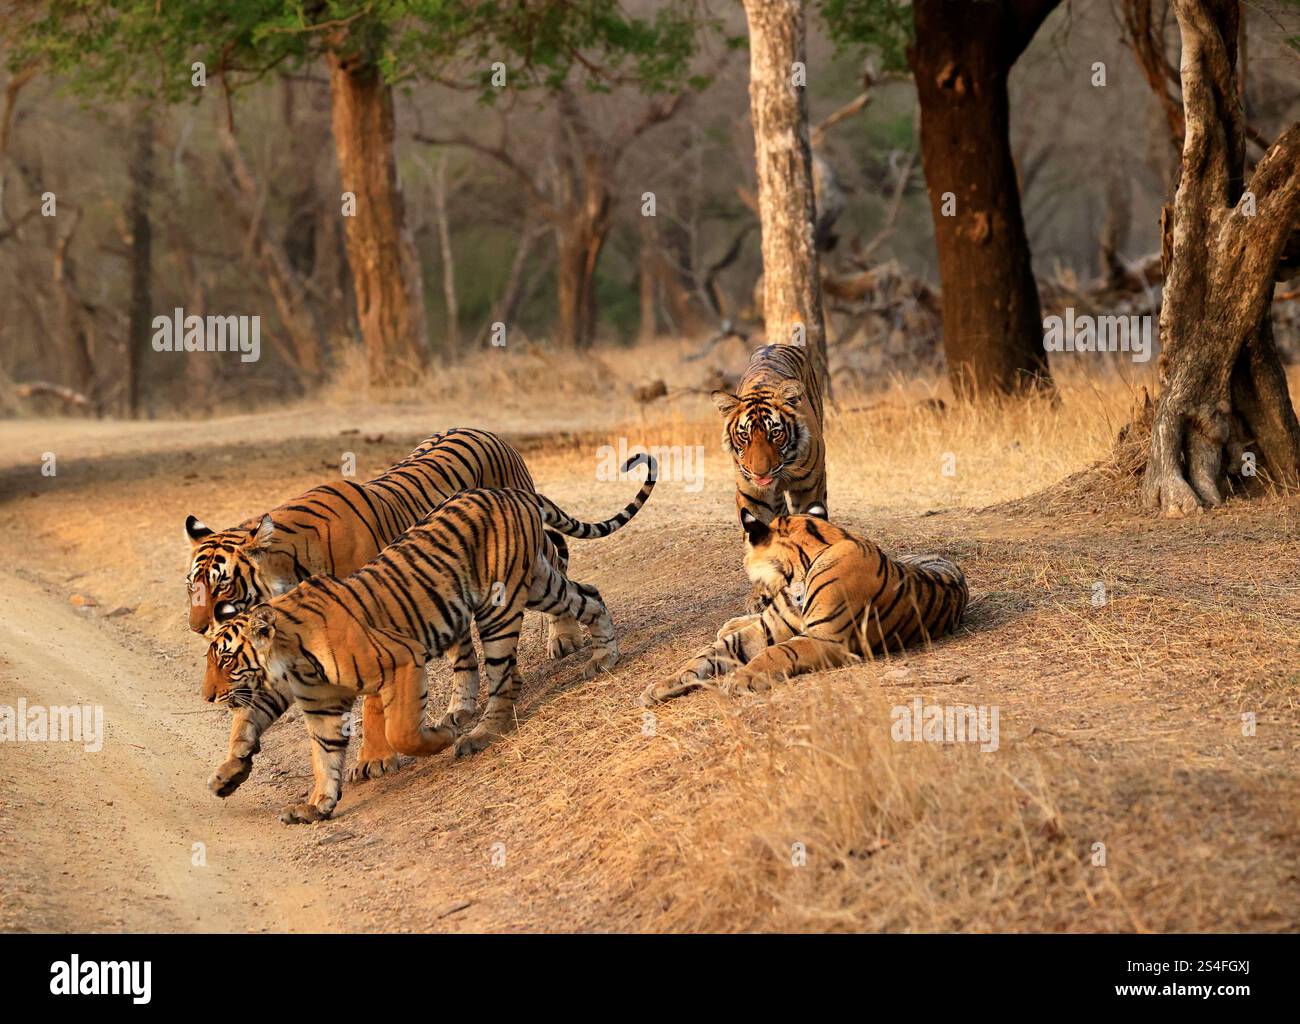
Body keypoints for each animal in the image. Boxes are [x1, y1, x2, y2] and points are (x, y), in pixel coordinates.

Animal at [203, 453, 657, 825]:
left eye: (226, 659)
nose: (207, 697)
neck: (291, 662)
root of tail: (508, 491)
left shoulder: (402, 660)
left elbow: (400, 730)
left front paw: (438, 738)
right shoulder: (322, 706)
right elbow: (323, 758)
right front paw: (315, 806)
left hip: (499, 607)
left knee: (504, 681)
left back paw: (478, 736)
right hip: (539, 583)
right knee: (588, 595)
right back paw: (605, 656)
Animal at [641, 504, 967, 704]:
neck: (797, 574)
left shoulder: (828, 638)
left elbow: (777, 652)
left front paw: (740, 679)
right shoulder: (763, 630)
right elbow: (706, 655)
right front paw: (661, 686)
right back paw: (728, 623)